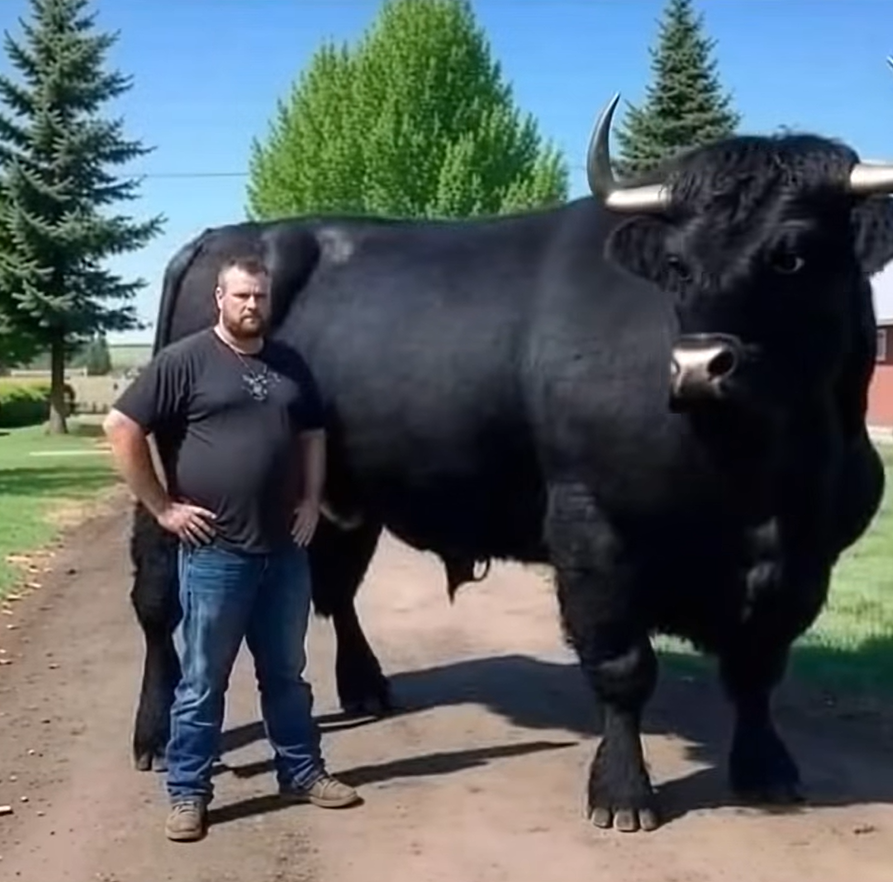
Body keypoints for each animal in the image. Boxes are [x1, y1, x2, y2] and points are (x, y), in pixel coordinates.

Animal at [126, 92, 893, 832]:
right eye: (677, 266)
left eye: (791, 255)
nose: (697, 365)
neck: (757, 481)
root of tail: (226, 235)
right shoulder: (591, 526)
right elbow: (623, 666)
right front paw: (622, 792)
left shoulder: (808, 554)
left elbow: (758, 667)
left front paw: (767, 769)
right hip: (172, 479)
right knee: (161, 600)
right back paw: (155, 734)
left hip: (344, 490)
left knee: (333, 587)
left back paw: (368, 687)